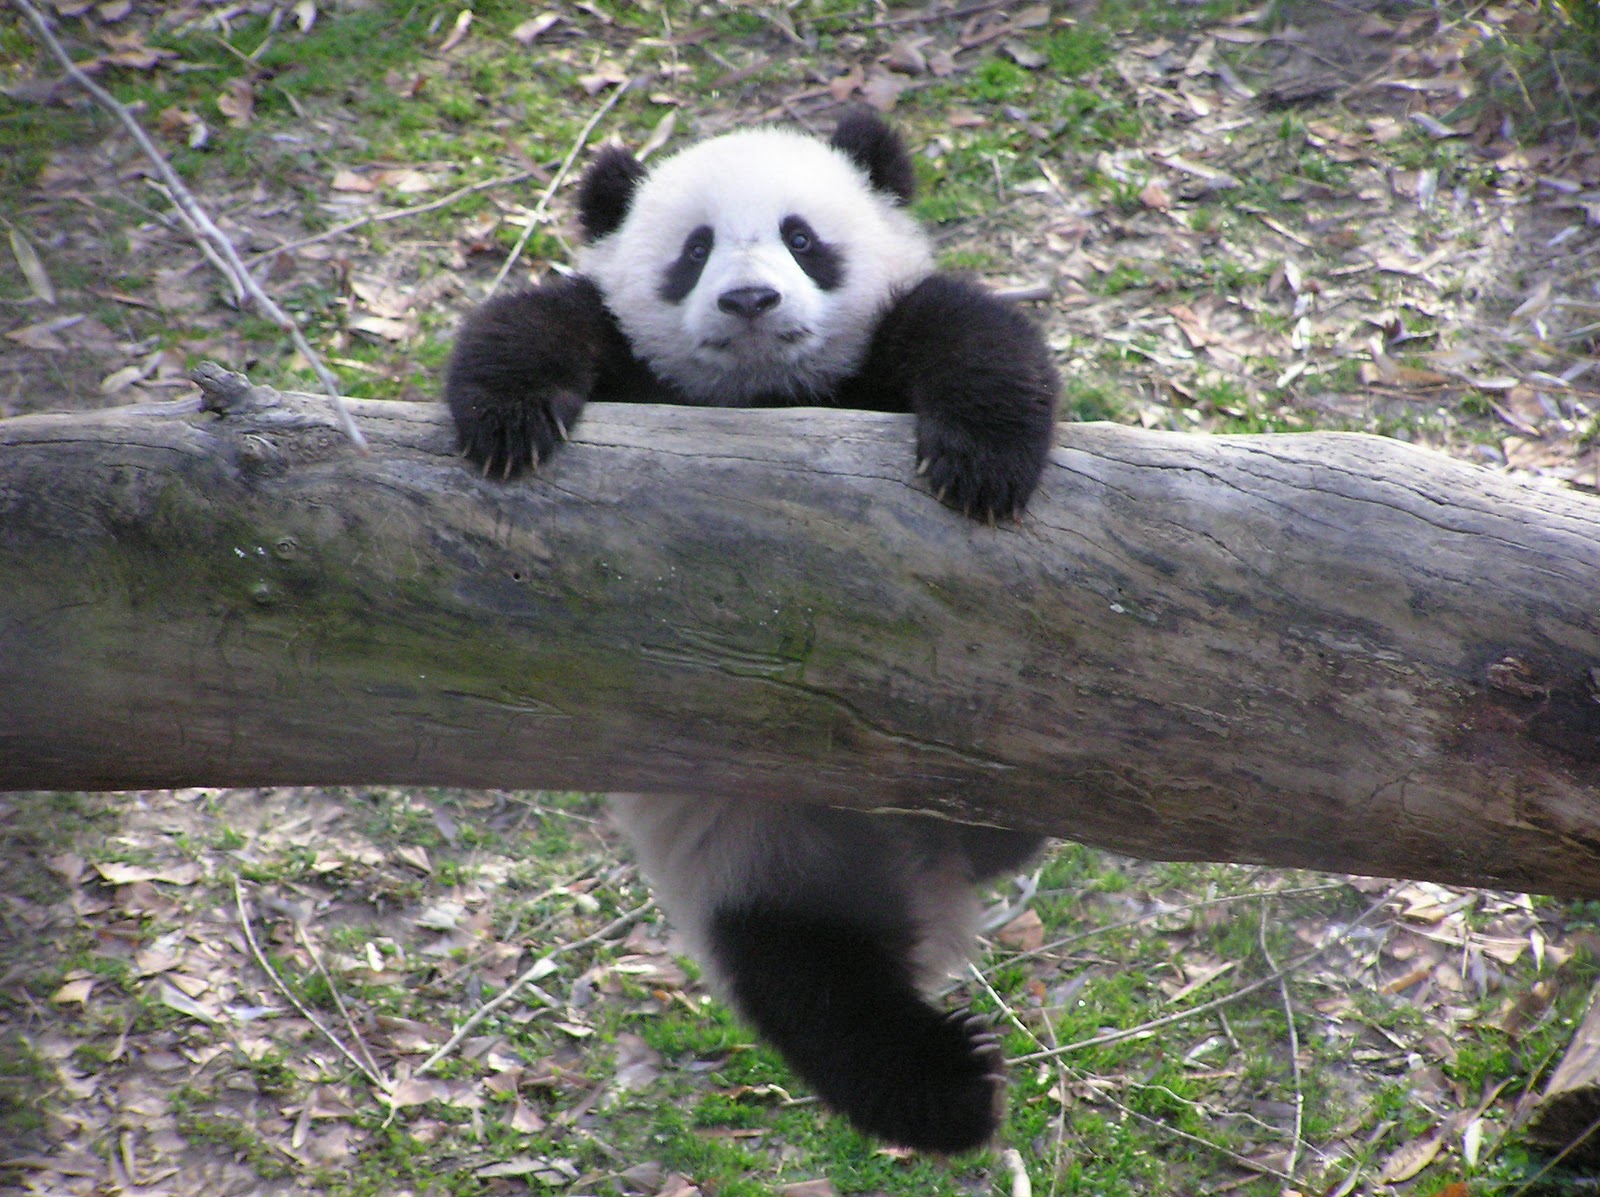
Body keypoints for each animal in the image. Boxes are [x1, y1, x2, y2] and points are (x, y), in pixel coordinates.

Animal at [445, 110, 1055, 1154]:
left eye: (801, 237)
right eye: (693, 251)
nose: (751, 298)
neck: (767, 400)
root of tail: (918, 887)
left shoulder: (871, 360)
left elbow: (965, 327)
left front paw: (981, 463)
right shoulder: (640, 373)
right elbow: (542, 320)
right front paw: (509, 422)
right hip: (752, 871)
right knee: (820, 996)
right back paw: (955, 1089)